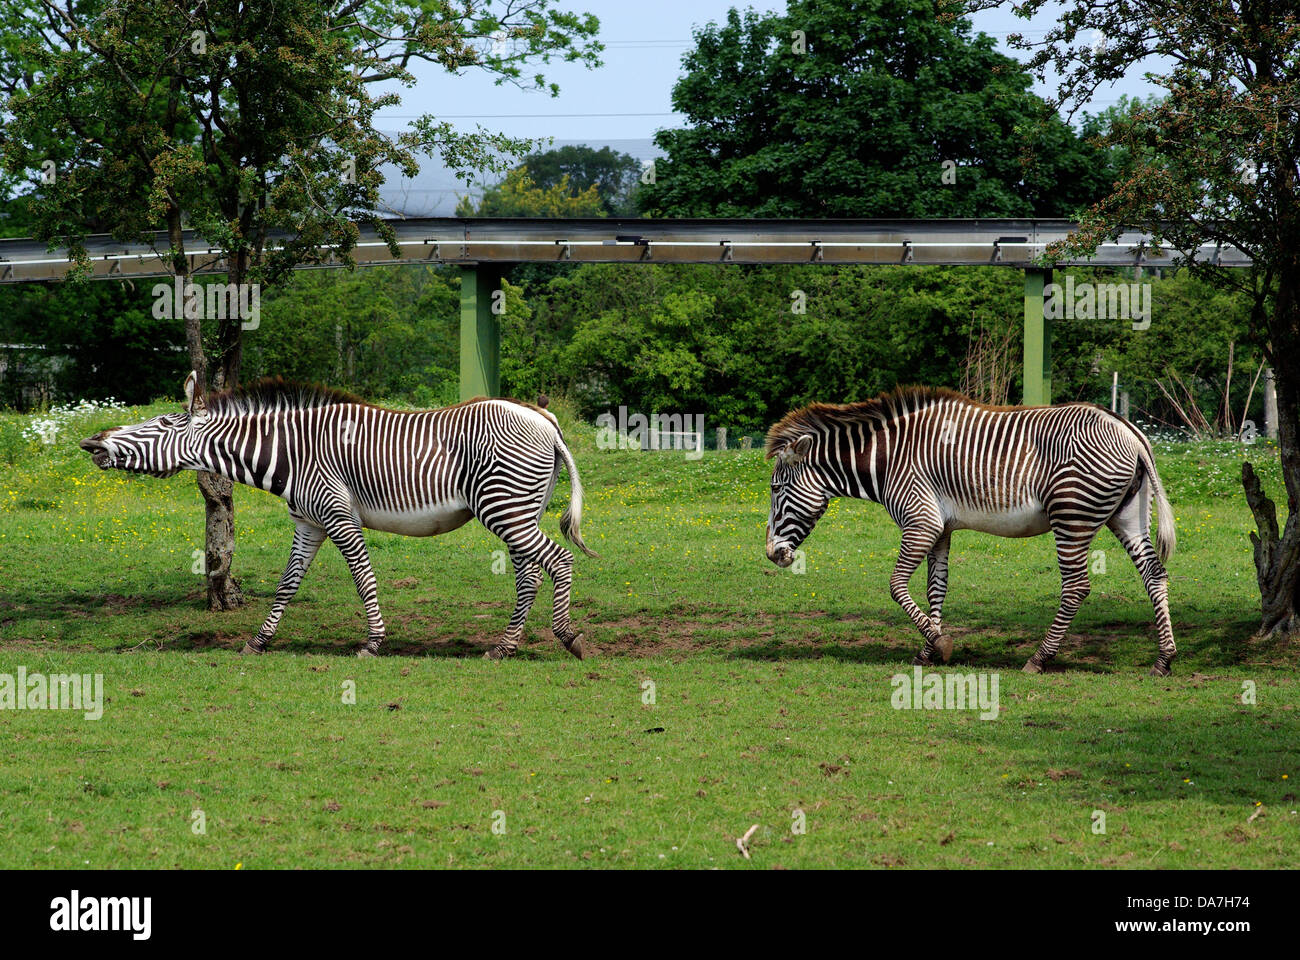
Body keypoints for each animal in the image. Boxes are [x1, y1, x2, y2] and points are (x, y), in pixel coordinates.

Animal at [80, 372, 597, 660]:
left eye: (159, 425)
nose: (90, 444)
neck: (292, 454)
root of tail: (543, 418)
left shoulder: (337, 514)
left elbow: (363, 578)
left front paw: (372, 643)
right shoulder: (307, 524)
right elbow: (287, 584)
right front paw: (258, 643)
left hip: (505, 507)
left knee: (558, 562)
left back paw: (569, 638)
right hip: (519, 509)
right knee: (530, 573)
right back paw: (504, 647)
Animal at [764, 386, 1177, 675]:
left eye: (776, 489)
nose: (771, 554)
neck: (889, 458)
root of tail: (1128, 429)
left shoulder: (920, 521)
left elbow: (897, 586)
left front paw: (939, 644)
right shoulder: (940, 528)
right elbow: (936, 588)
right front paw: (929, 651)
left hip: (1071, 516)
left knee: (1076, 587)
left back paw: (1039, 659)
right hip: (1127, 515)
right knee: (1154, 574)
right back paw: (1164, 659)